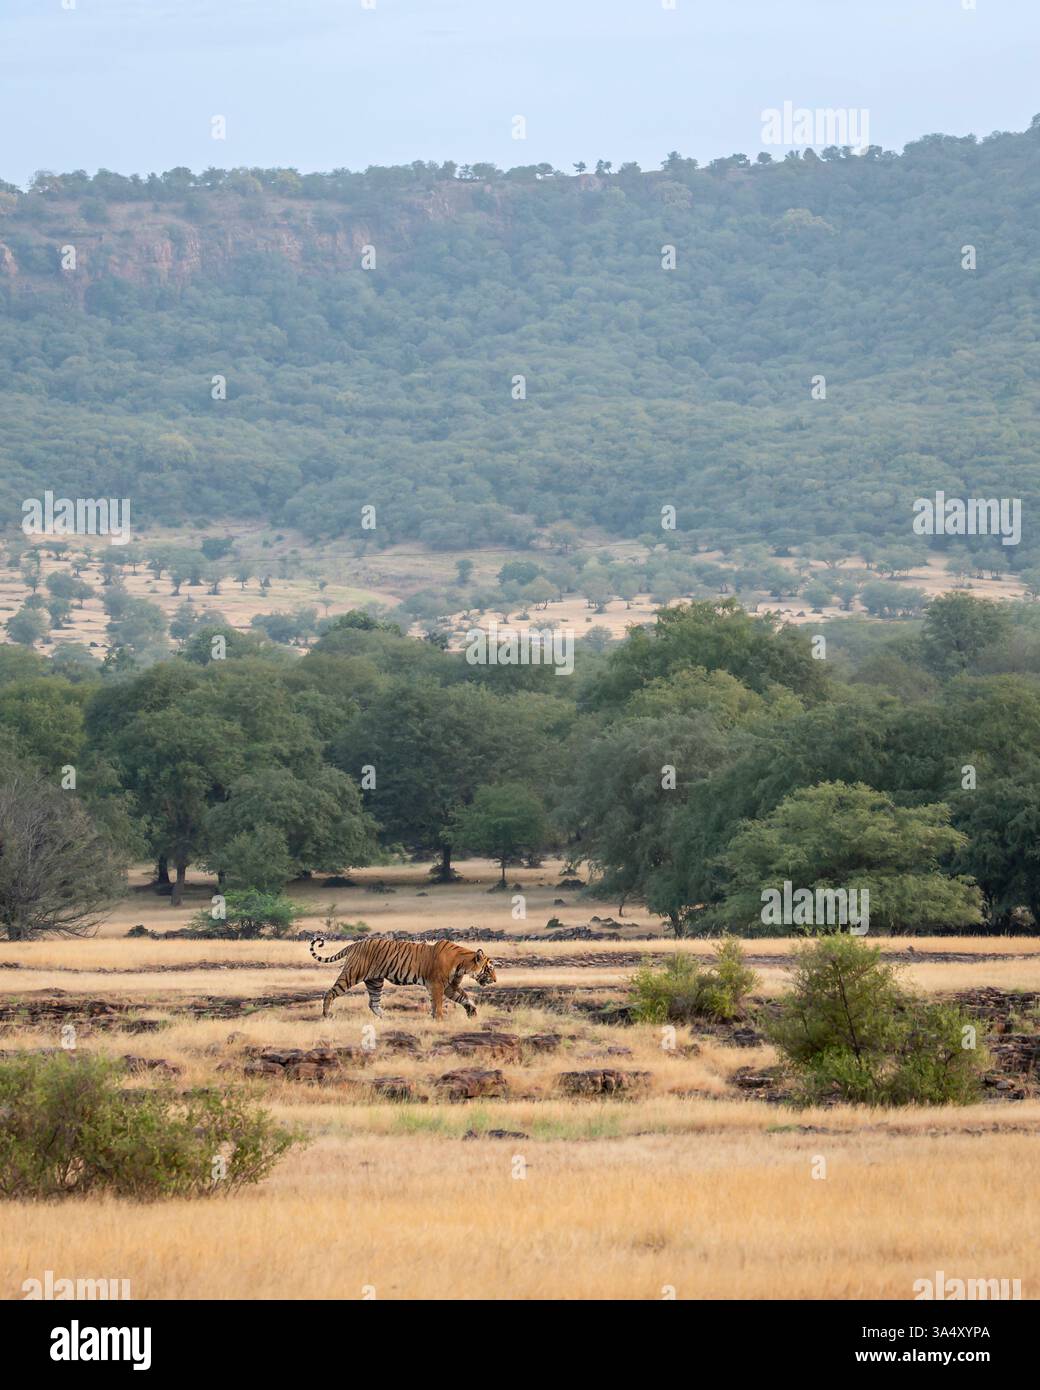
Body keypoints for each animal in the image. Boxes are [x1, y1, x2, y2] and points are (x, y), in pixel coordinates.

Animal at [309, 936, 497, 1020]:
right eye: (489, 969)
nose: (495, 980)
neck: (462, 965)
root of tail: (355, 944)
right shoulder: (437, 985)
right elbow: (437, 1004)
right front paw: (439, 1019)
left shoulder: (450, 987)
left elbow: (465, 997)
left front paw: (472, 1011)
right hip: (352, 974)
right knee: (330, 992)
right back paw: (327, 1015)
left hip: (375, 981)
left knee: (373, 1003)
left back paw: (386, 1018)